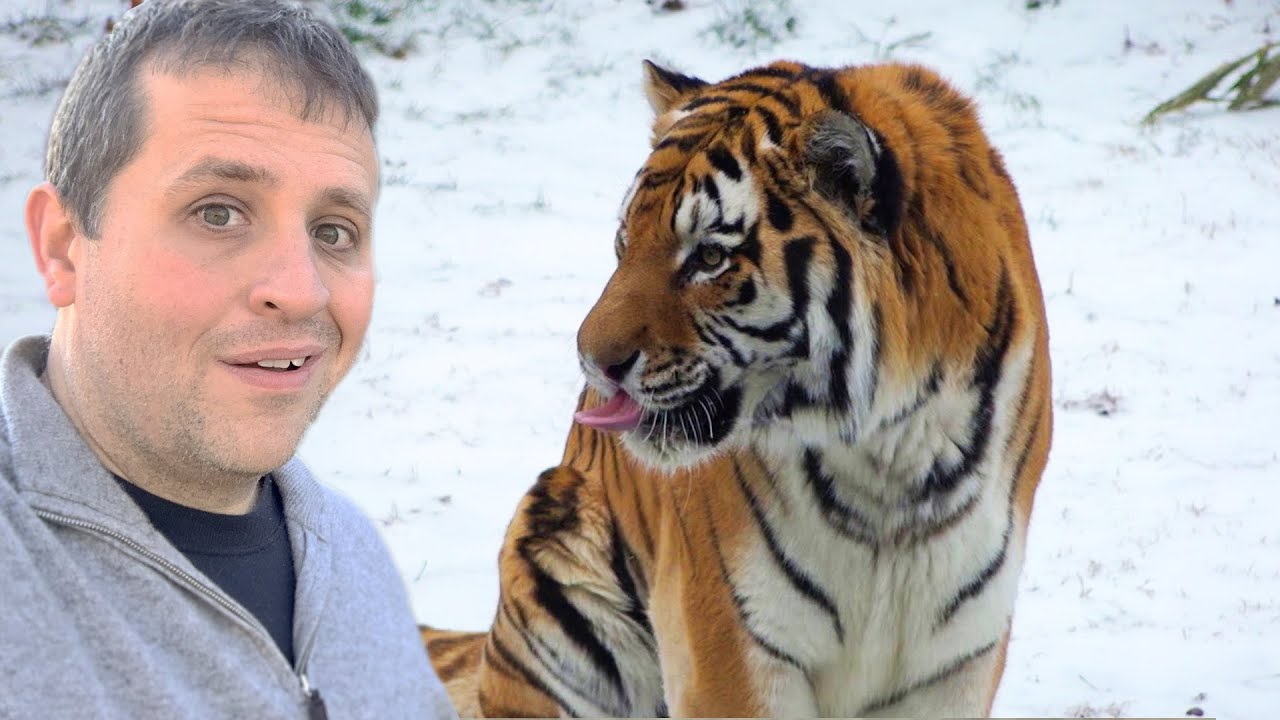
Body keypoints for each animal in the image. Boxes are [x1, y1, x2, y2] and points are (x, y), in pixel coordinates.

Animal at [422, 58, 1052, 718]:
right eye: (624, 241)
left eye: (708, 257)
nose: (592, 362)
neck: (885, 454)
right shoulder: (729, 637)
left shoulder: (957, 660)